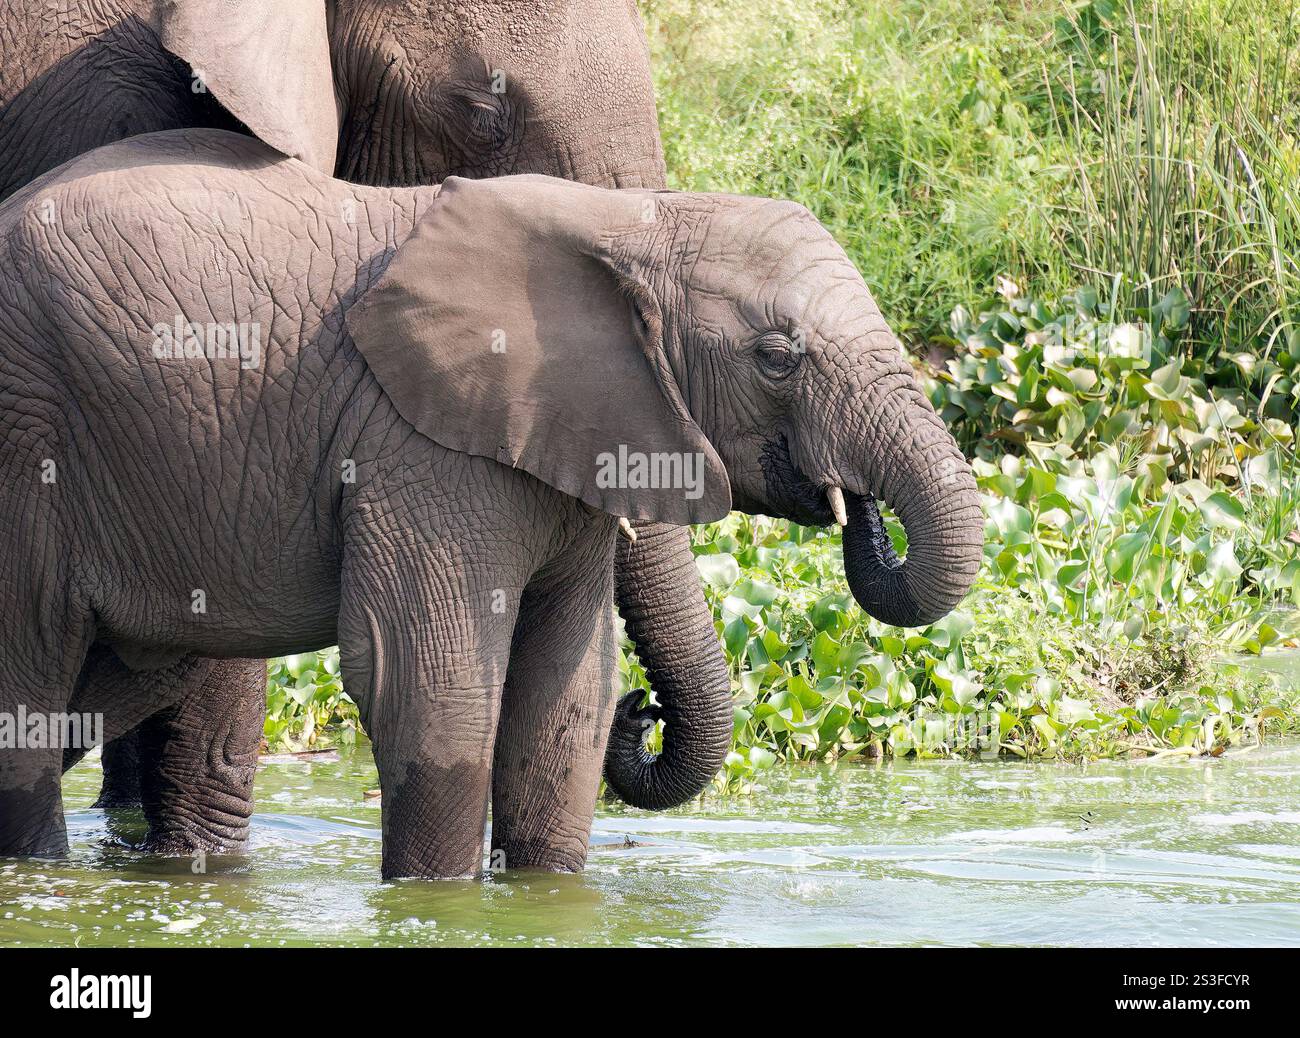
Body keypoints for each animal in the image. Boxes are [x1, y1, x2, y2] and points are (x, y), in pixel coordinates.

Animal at [0, 129, 983, 878]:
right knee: (29, 699)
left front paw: (544, 892)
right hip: (25, 444)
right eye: (778, 356)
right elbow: (434, 693)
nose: (647, 712)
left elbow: (563, 703)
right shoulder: (421, 451)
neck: (630, 222)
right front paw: (437, 905)